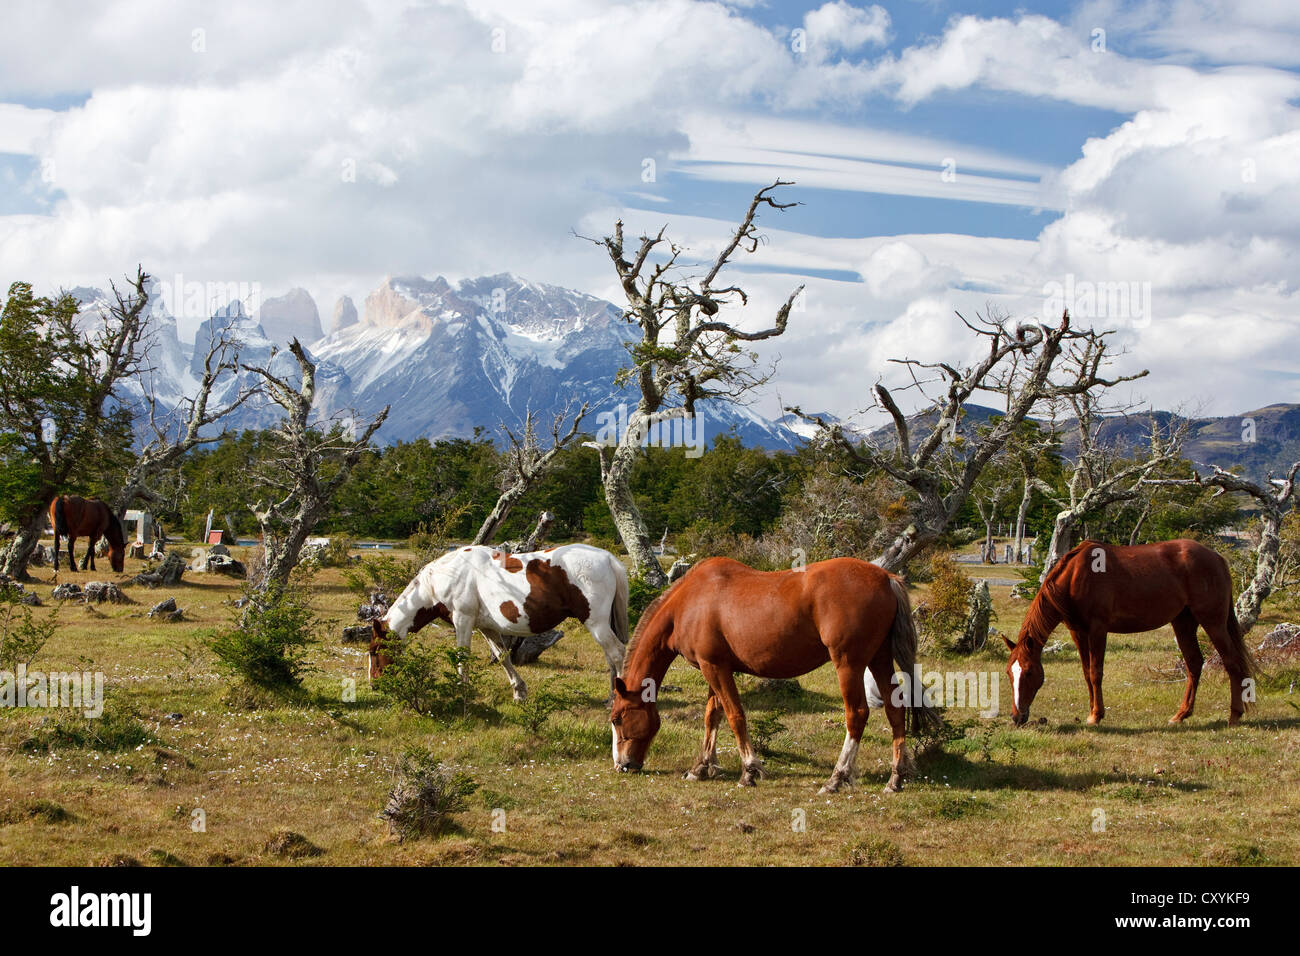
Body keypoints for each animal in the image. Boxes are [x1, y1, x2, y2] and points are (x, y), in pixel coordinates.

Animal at [369, 543, 629, 700]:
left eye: (374, 650)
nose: (374, 685)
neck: (447, 576)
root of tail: (608, 558)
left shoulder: (463, 620)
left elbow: (462, 656)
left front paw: (461, 689)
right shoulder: (485, 627)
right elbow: (503, 657)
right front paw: (519, 692)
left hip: (596, 623)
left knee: (617, 653)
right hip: (602, 624)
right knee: (610, 657)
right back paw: (610, 697)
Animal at [610, 556, 941, 793]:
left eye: (617, 719)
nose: (622, 765)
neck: (688, 602)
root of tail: (886, 578)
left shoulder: (714, 668)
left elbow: (735, 716)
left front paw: (749, 771)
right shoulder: (714, 667)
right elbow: (712, 716)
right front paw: (701, 767)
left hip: (849, 663)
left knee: (857, 714)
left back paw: (837, 778)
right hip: (879, 659)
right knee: (895, 711)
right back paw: (895, 778)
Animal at [1005, 539, 1256, 727]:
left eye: (1028, 672)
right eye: (1009, 672)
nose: (1017, 717)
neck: (1076, 576)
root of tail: (1217, 558)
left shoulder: (1098, 630)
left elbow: (1096, 673)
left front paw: (1096, 716)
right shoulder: (1078, 632)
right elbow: (1086, 673)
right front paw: (1091, 712)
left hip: (1213, 622)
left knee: (1232, 663)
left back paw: (1234, 715)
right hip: (1184, 623)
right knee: (1194, 664)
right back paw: (1181, 715)